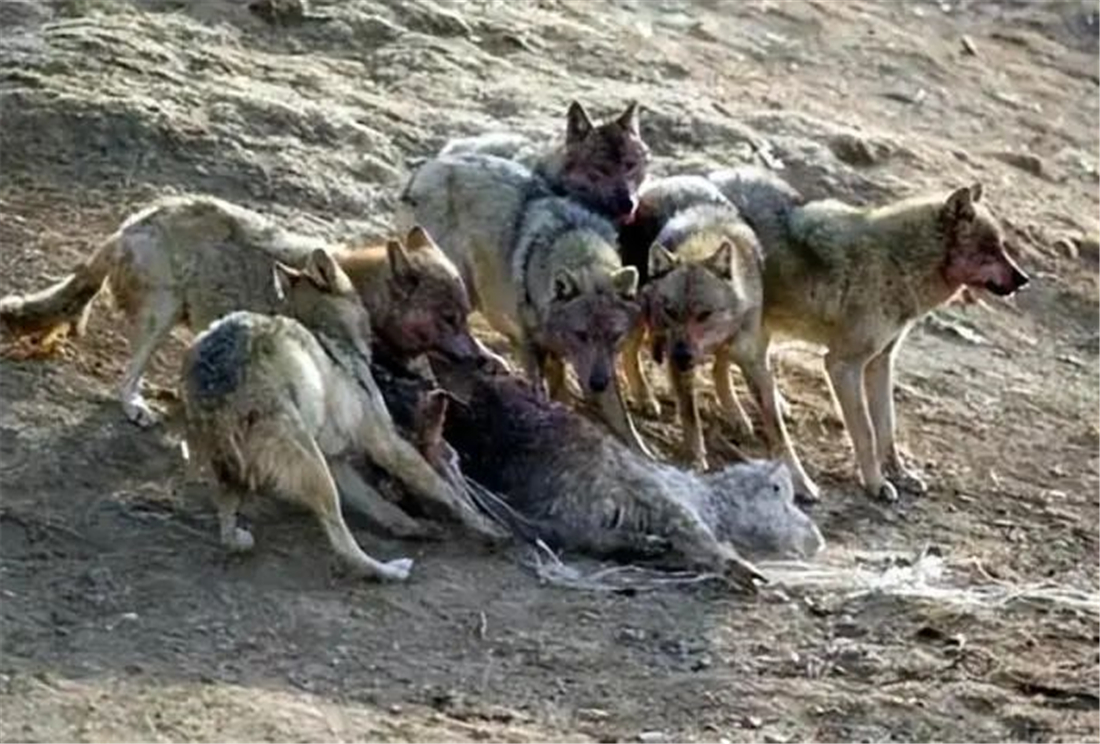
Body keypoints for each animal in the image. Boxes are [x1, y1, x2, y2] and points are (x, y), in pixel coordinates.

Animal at [0, 195, 492, 425]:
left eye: (465, 318)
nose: (481, 358)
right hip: (162, 314)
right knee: (126, 378)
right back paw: (136, 405)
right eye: (449, 318)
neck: (365, 294)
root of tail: (125, 228)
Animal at [180, 249, 503, 578]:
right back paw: (391, 571)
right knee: (346, 549)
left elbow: (380, 506)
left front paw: (413, 527)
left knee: (228, 533)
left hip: (249, 475)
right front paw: (487, 527)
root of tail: (217, 389)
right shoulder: (388, 446)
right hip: (315, 471)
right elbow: (444, 491)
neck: (324, 329)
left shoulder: (337, 460)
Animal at [399, 153, 650, 456]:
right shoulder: (528, 340)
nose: (598, 384)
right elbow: (542, 388)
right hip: (463, 281)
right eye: (581, 335)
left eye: (614, 336)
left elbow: (624, 423)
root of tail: (425, 168)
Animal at [710, 167, 1030, 501]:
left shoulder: (881, 362)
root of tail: (712, 176)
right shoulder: (842, 366)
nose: (1024, 279)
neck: (898, 264)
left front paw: (901, 475)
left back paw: (750, 412)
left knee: (723, 362)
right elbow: (865, 431)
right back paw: (741, 416)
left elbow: (886, 428)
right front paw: (876, 484)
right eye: (989, 251)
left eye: (1002, 248)